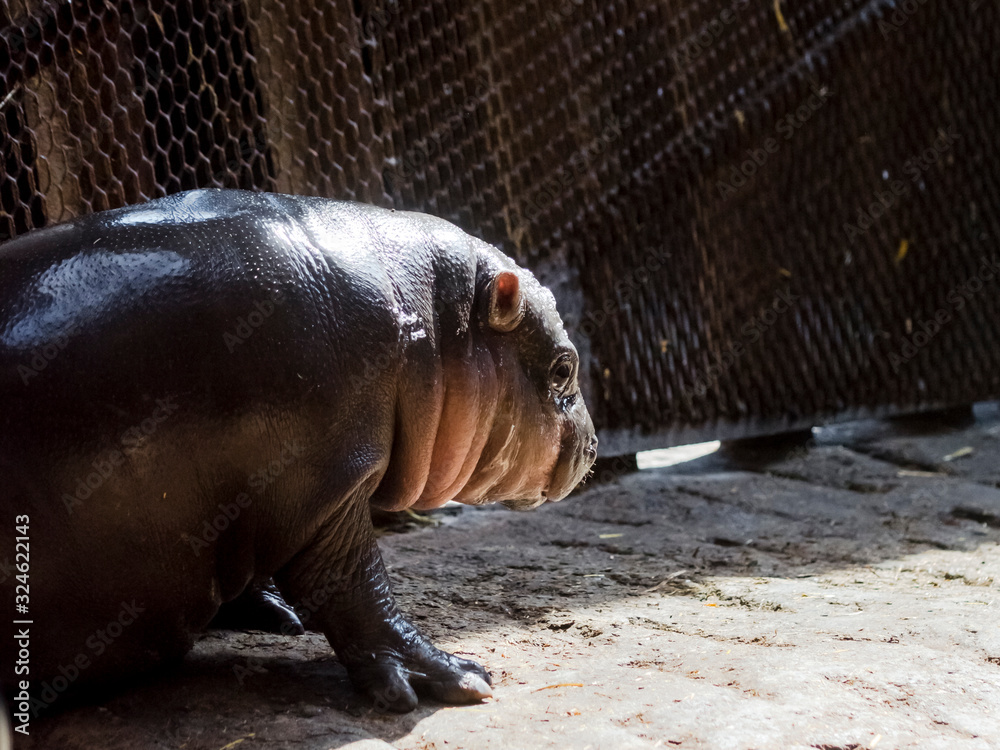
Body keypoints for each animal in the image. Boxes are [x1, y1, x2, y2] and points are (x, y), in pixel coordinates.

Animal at [0, 189, 596, 717]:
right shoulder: (320, 488)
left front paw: (282, 615)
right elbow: (354, 583)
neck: (429, 319)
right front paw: (457, 678)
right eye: (564, 367)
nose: (594, 448)